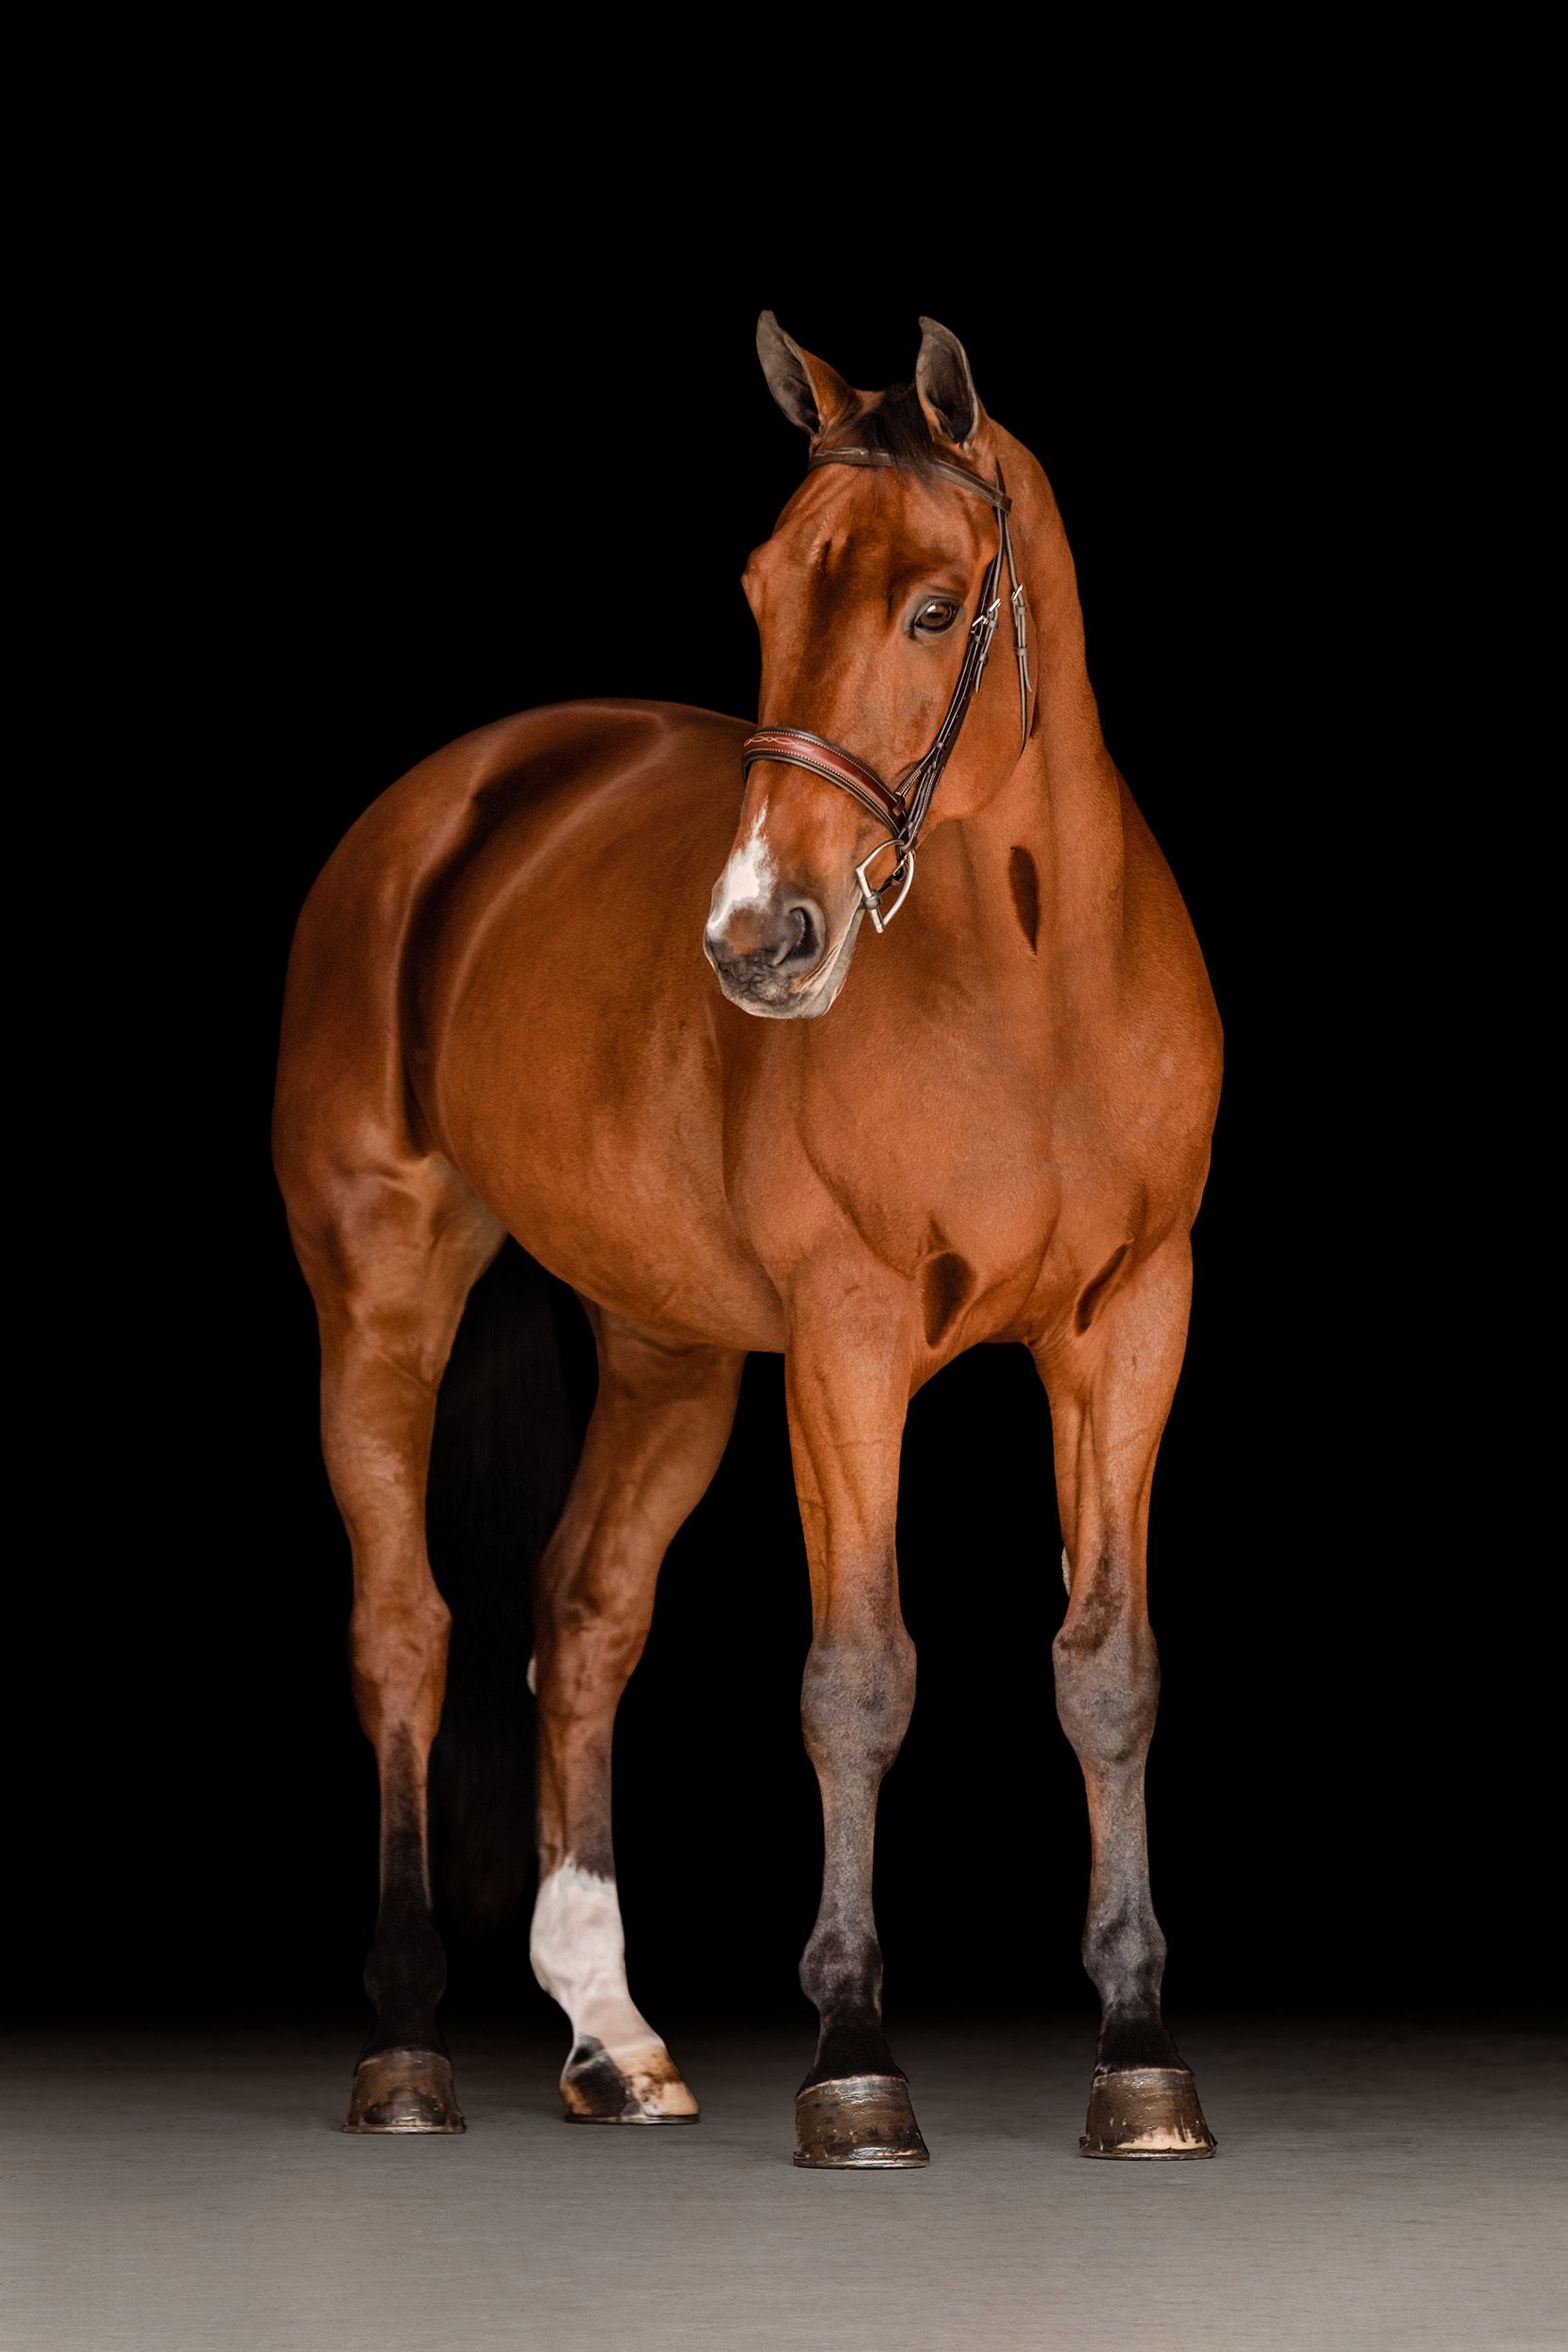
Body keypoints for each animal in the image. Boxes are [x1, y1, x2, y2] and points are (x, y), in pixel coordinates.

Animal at [272, 312, 1223, 2168]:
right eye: (763, 586)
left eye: (933, 605)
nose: (754, 936)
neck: (1038, 999)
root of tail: (448, 802)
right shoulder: (848, 1340)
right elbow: (856, 1677)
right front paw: (851, 2060)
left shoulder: (1129, 1327)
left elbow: (1106, 1670)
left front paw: (1139, 2059)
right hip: (383, 1296)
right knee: (404, 1629)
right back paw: (407, 2047)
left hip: (672, 1354)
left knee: (582, 1621)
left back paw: (612, 2038)